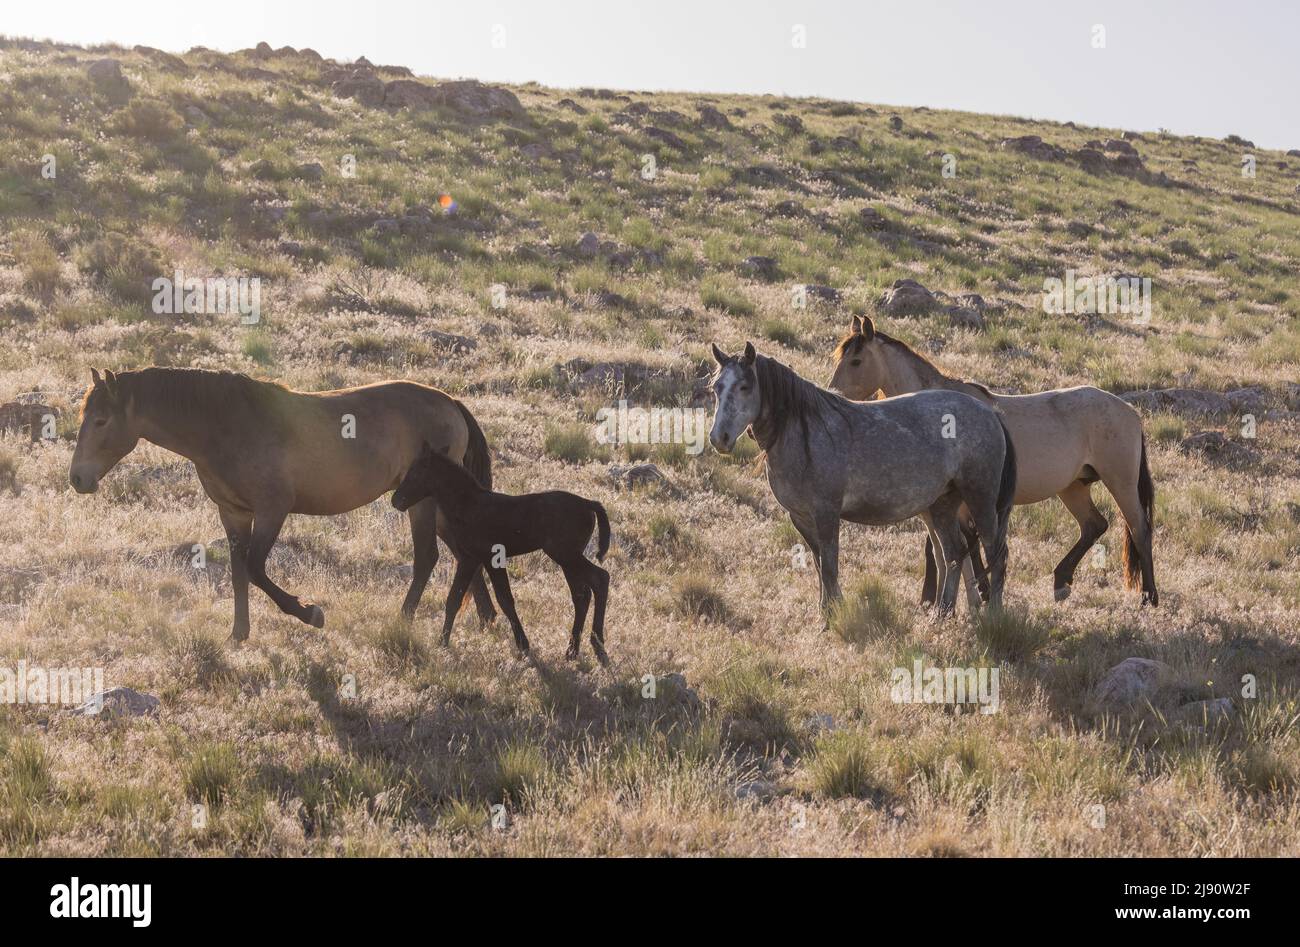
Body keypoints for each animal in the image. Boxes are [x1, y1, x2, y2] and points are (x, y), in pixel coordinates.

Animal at [69, 367, 498, 642]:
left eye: (101, 421)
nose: (77, 478)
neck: (227, 426)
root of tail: (450, 402)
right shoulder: (233, 513)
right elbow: (238, 572)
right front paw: (238, 634)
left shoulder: (272, 510)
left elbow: (256, 570)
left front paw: (310, 613)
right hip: (430, 502)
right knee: (462, 550)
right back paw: (486, 617)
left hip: (422, 502)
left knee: (427, 557)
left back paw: (404, 621)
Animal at [392, 442, 613, 664]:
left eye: (416, 473)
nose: (396, 500)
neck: (469, 506)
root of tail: (588, 503)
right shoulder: (472, 560)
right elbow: (457, 599)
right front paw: (443, 642)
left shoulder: (485, 559)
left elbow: (502, 599)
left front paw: (523, 645)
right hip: (567, 559)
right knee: (581, 595)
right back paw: (572, 651)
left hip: (566, 554)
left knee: (600, 578)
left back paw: (598, 647)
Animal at [708, 341, 1017, 617]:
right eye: (717, 388)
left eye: (744, 387)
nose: (718, 438)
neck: (804, 434)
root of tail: (991, 414)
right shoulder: (801, 518)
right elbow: (820, 565)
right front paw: (826, 612)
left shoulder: (826, 514)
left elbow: (830, 567)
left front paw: (832, 617)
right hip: (942, 505)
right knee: (954, 554)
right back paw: (940, 616)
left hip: (981, 501)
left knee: (995, 554)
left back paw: (994, 616)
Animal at [829, 315, 1157, 605]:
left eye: (856, 361)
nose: (833, 395)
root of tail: (1129, 410)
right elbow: (947, 546)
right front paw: (945, 596)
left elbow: (961, 546)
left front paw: (974, 593)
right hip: (1073, 487)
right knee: (1093, 525)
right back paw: (1061, 582)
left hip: (1121, 483)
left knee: (1139, 529)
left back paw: (1148, 596)